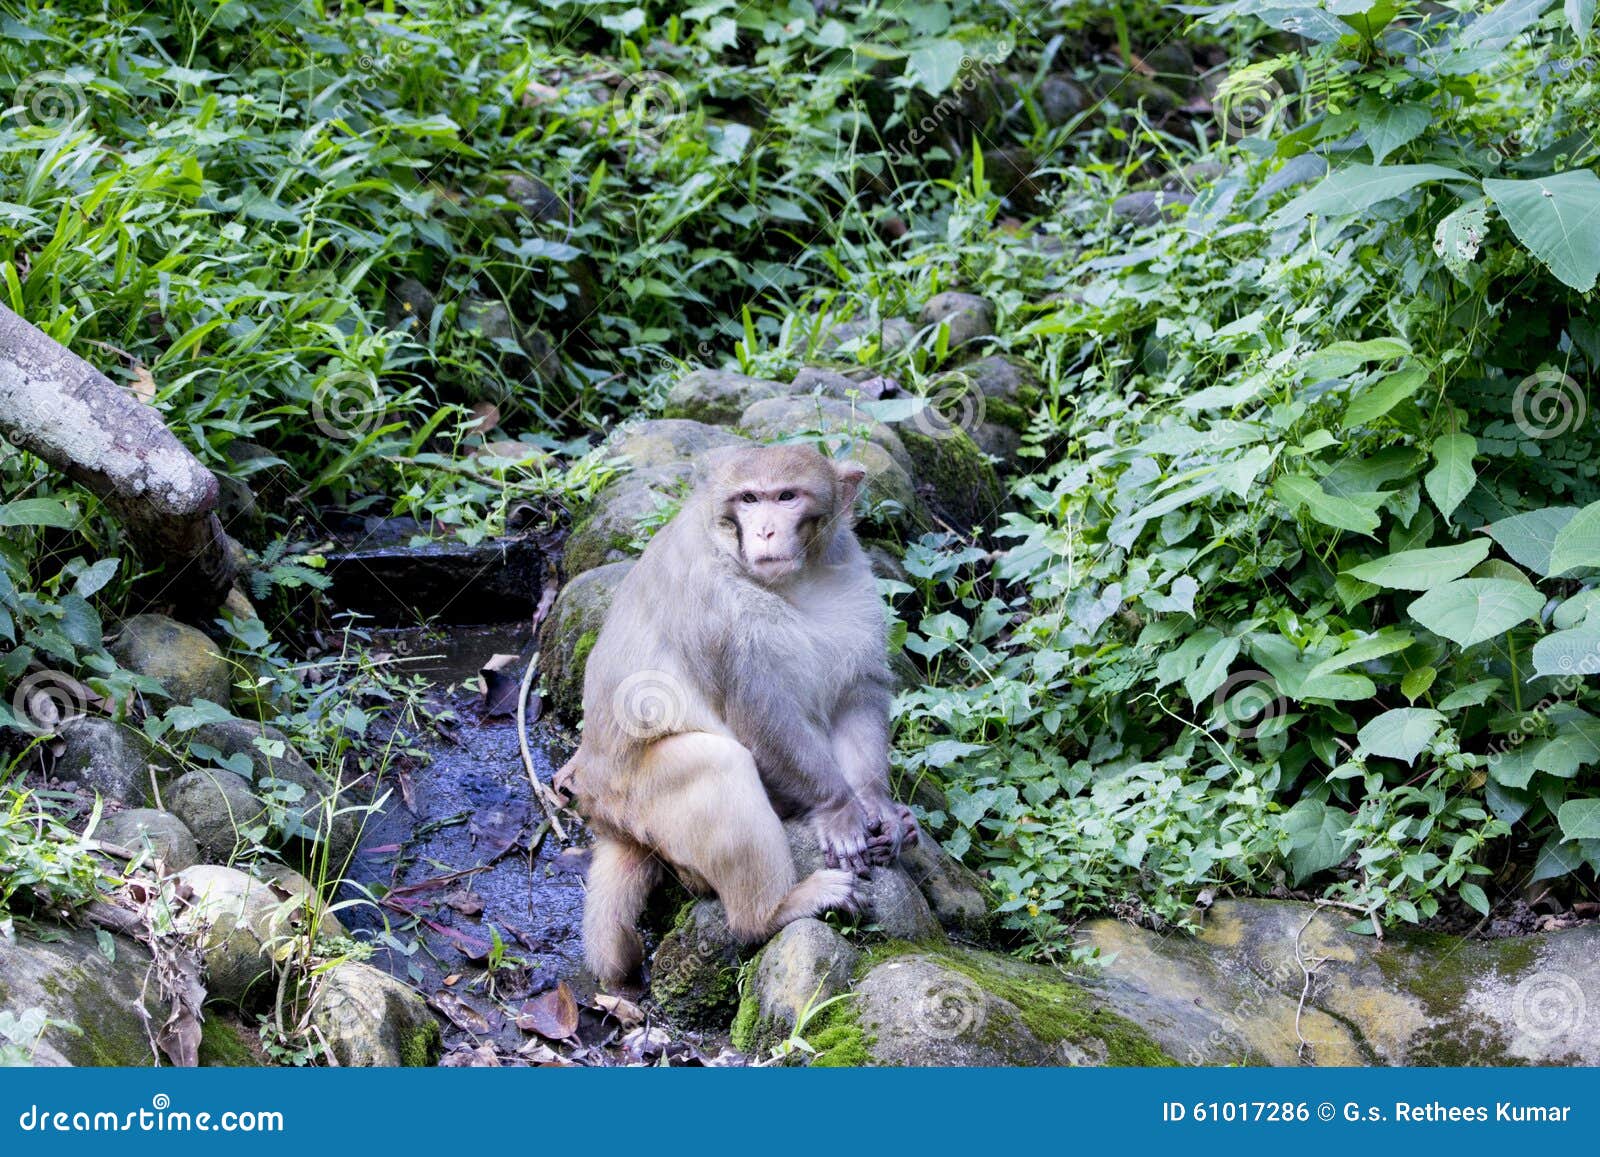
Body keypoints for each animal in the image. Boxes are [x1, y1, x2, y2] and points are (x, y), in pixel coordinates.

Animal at [558, 442, 919, 985]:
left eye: (786, 497)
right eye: (749, 499)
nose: (766, 530)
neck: (791, 580)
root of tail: (600, 811)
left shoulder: (849, 570)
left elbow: (854, 693)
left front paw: (878, 805)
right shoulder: (719, 609)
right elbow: (761, 714)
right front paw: (839, 808)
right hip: (636, 801)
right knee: (718, 762)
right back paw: (771, 912)